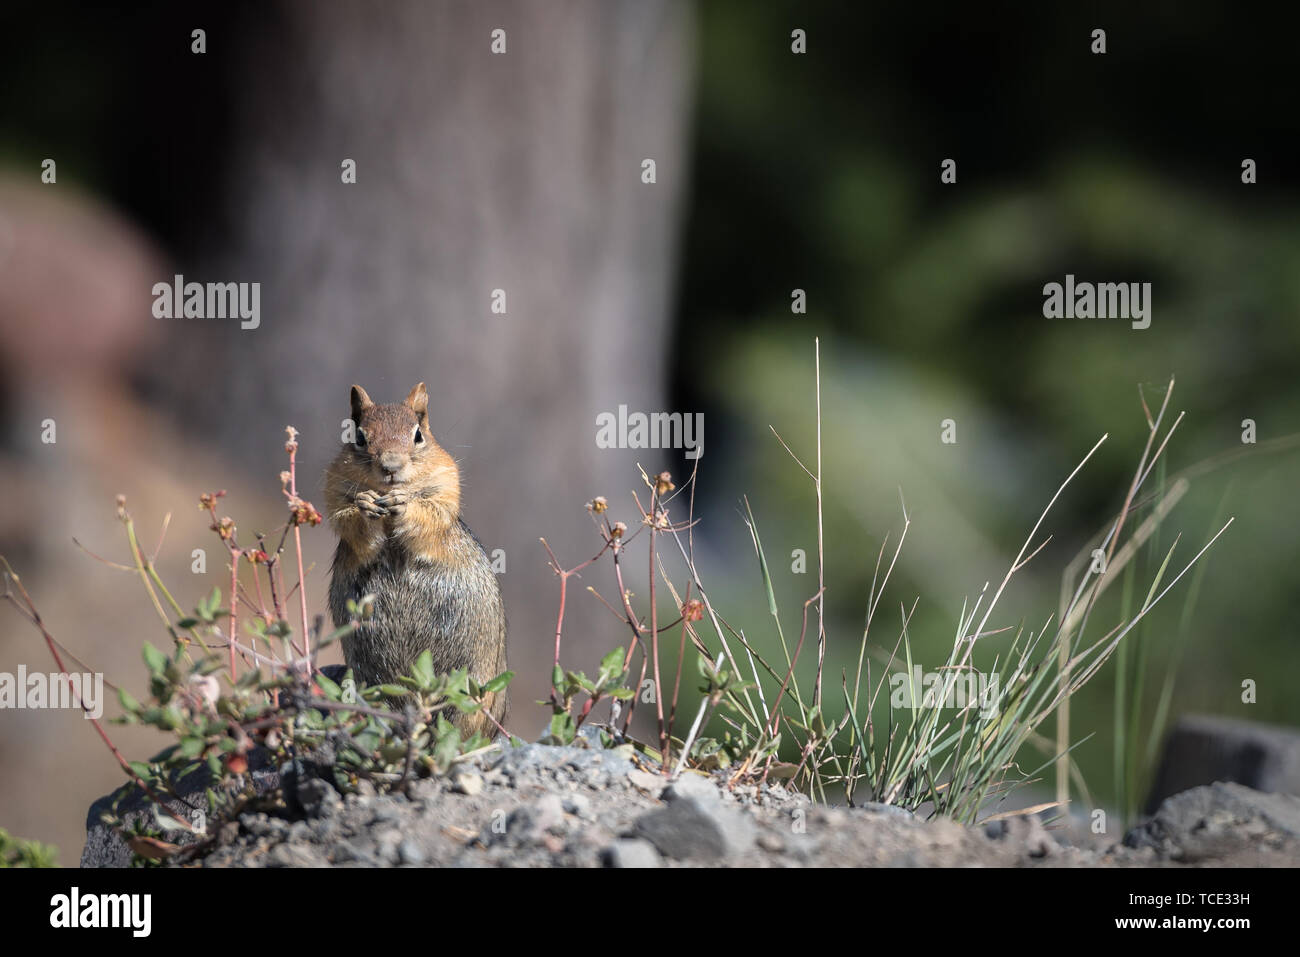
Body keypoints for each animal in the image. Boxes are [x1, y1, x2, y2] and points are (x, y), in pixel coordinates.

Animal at [324, 381, 507, 738]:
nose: (391, 466)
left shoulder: (444, 489)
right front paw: (367, 505)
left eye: (418, 435)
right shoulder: (336, 494)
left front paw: (403, 504)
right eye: (360, 437)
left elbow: (428, 517)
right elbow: (352, 522)